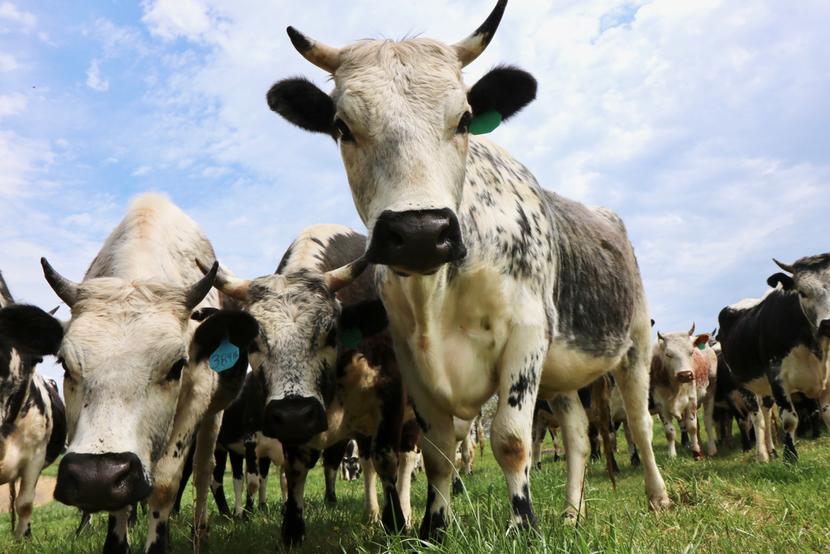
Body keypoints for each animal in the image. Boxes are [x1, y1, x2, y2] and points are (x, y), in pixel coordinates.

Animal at [34, 194, 259, 554]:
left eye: (177, 366)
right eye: (66, 365)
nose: (96, 477)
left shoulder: (195, 398)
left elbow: (166, 484)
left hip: (214, 416)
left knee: (203, 471)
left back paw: (200, 533)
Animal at [198, 224, 421, 546]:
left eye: (331, 333)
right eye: (253, 342)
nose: (295, 414)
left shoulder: (390, 395)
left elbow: (387, 459)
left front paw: (397, 524)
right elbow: (295, 468)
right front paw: (292, 530)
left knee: (405, 459)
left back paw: (406, 512)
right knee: (367, 463)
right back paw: (371, 513)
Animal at [266, 0, 671, 535]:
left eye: (464, 119)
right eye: (342, 126)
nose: (420, 231)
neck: (436, 295)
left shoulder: (525, 335)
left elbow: (511, 439)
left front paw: (524, 525)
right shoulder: (411, 362)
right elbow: (436, 451)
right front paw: (433, 525)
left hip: (635, 342)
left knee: (641, 423)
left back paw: (657, 498)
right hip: (562, 374)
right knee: (579, 435)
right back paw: (571, 512)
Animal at [650, 324, 717, 459]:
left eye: (691, 352)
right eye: (668, 354)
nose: (685, 374)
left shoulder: (691, 399)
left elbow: (691, 427)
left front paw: (696, 453)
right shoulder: (660, 404)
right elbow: (669, 431)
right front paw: (672, 455)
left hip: (710, 394)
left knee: (707, 422)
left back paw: (711, 449)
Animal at [718, 254, 830, 463]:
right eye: (802, 292)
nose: (828, 324)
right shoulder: (778, 376)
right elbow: (789, 419)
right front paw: (790, 457)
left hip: (764, 387)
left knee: (766, 411)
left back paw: (772, 451)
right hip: (745, 385)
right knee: (757, 418)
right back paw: (761, 455)